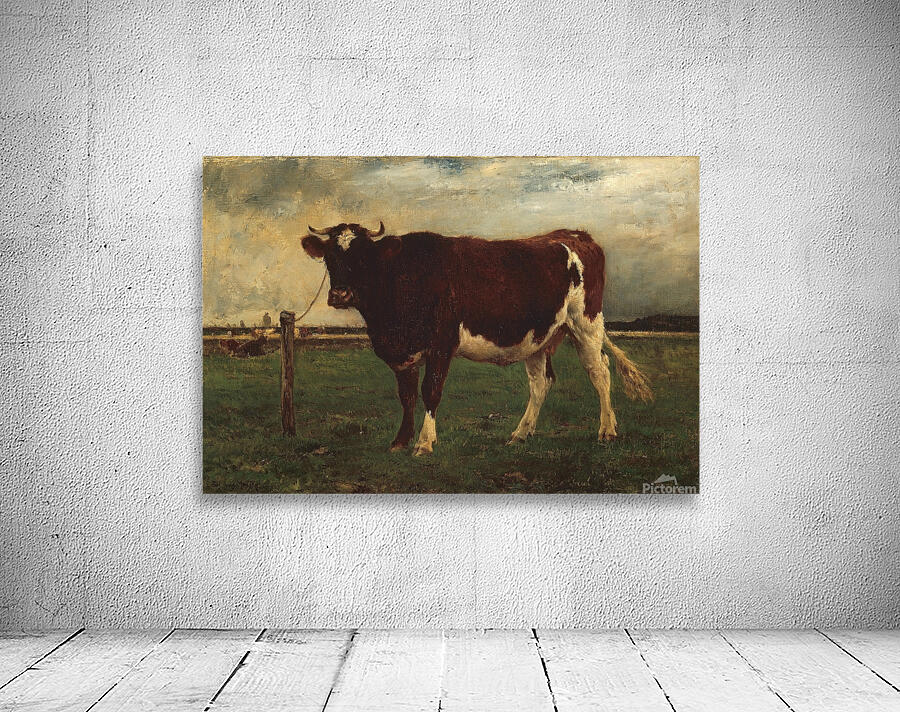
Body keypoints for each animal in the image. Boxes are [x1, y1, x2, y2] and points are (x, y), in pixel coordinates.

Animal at [301, 221, 652, 456]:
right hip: (539, 337)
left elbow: (430, 392)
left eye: (364, 258)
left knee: (600, 372)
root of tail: (575, 235)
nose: (340, 294)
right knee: (541, 383)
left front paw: (424, 443)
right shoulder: (403, 352)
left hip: (585, 323)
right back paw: (520, 434)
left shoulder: (441, 345)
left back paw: (607, 431)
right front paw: (400, 441)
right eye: (330, 258)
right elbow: (407, 396)